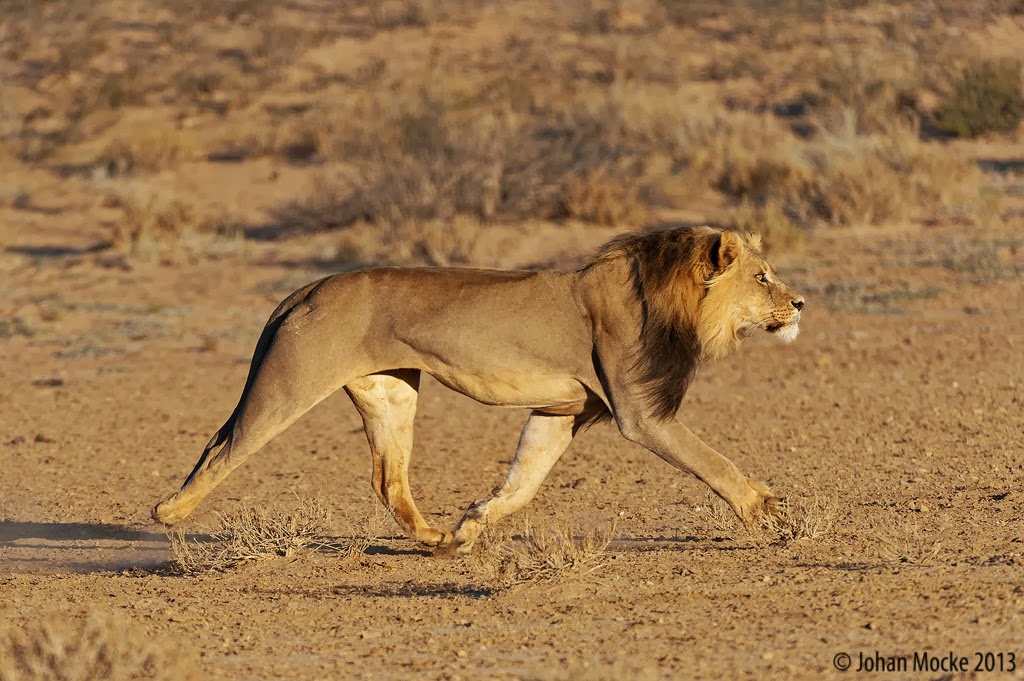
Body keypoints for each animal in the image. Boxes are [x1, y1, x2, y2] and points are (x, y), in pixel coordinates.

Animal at [153, 225, 804, 554]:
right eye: (762, 277)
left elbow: (524, 479)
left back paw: (435, 539)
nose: (800, 303)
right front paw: (771, 513)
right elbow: (713, 461)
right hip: (291, 383)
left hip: (392, 393)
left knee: (387, 479)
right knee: (223, 444)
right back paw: (168, 513)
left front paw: (471, 526)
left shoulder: (562, 409)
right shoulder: (639, 412)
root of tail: (309, 286)